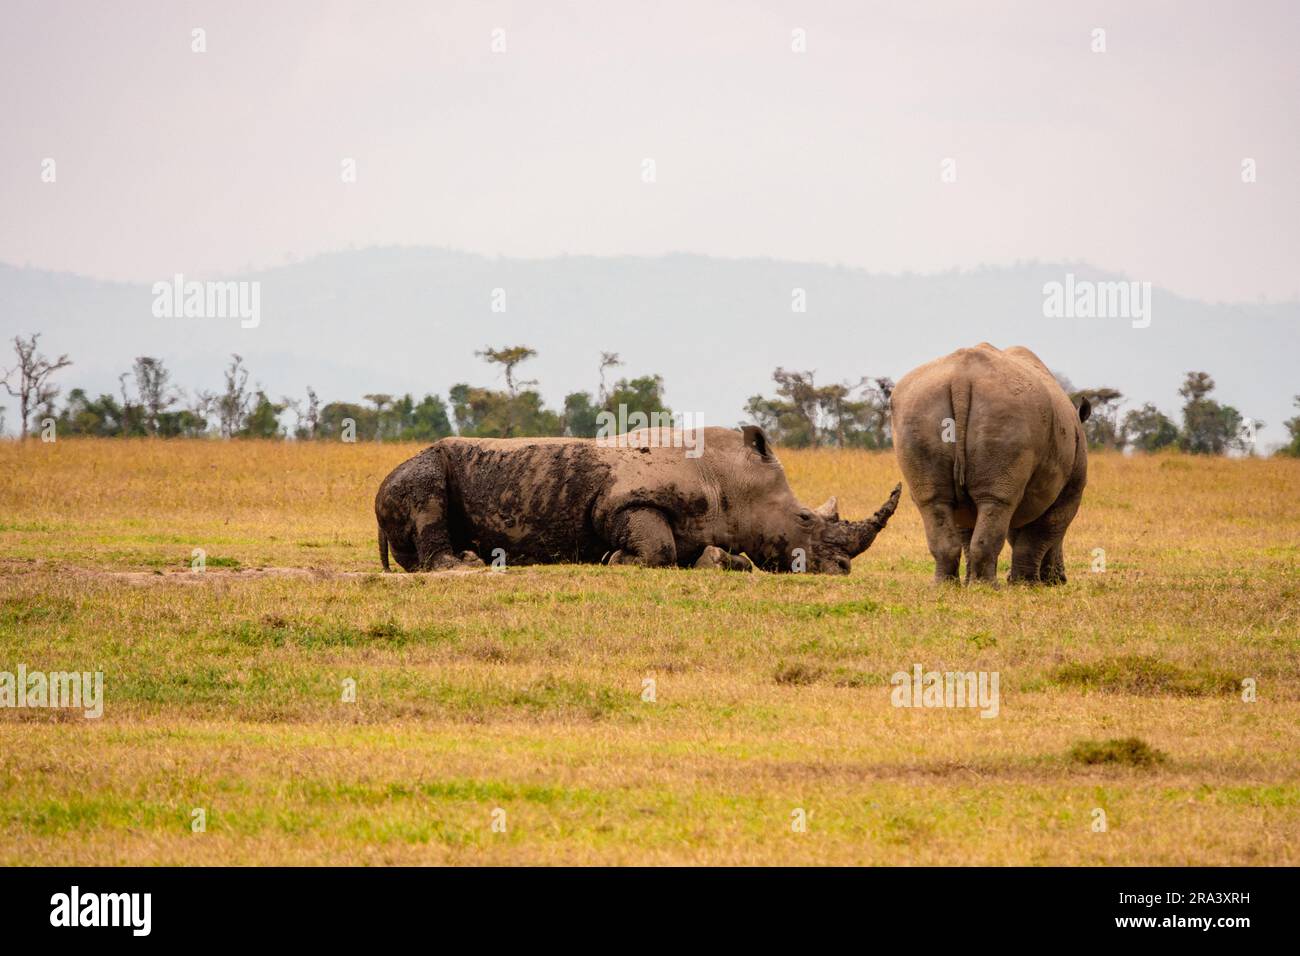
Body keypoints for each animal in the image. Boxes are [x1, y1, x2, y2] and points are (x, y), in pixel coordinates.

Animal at [375, 425, 901, 574]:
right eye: (805, 518)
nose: (842, 569)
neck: (727, 479)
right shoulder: (623, 503)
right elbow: (658, 548)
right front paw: (613, 559)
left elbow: (720, 556)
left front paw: (718, 562)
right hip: (416, 471)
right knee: (426, 491)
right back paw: (462, 564)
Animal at [890, 343, 1090, 585]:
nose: (1061, 579)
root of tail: (961, 377)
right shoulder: (1071, 490)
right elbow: (1043, 533)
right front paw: (1028, 585)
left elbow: (977, 531)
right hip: (1010, 412)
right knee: (997, 501)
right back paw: (988, 587)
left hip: (918, 409)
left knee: (933, 501)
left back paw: (945, 586)